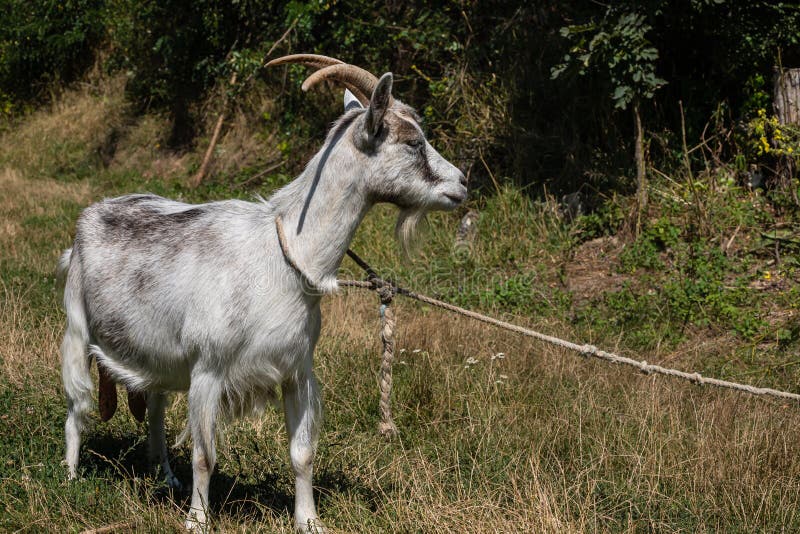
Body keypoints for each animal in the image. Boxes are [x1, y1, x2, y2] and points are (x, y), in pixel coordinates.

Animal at [58, 54, 467, 532]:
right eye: (413, 141)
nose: (463, 182)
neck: (282, 259)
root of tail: (92, 213)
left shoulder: (296, 370)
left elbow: (302, 454)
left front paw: (309, 521)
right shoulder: (209, 369)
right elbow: (204, 455)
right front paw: (197, 521)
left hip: (158, 354)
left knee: (155, 407)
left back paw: (166, 478)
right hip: (76, 326)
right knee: (78, 405)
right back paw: (71, 477)